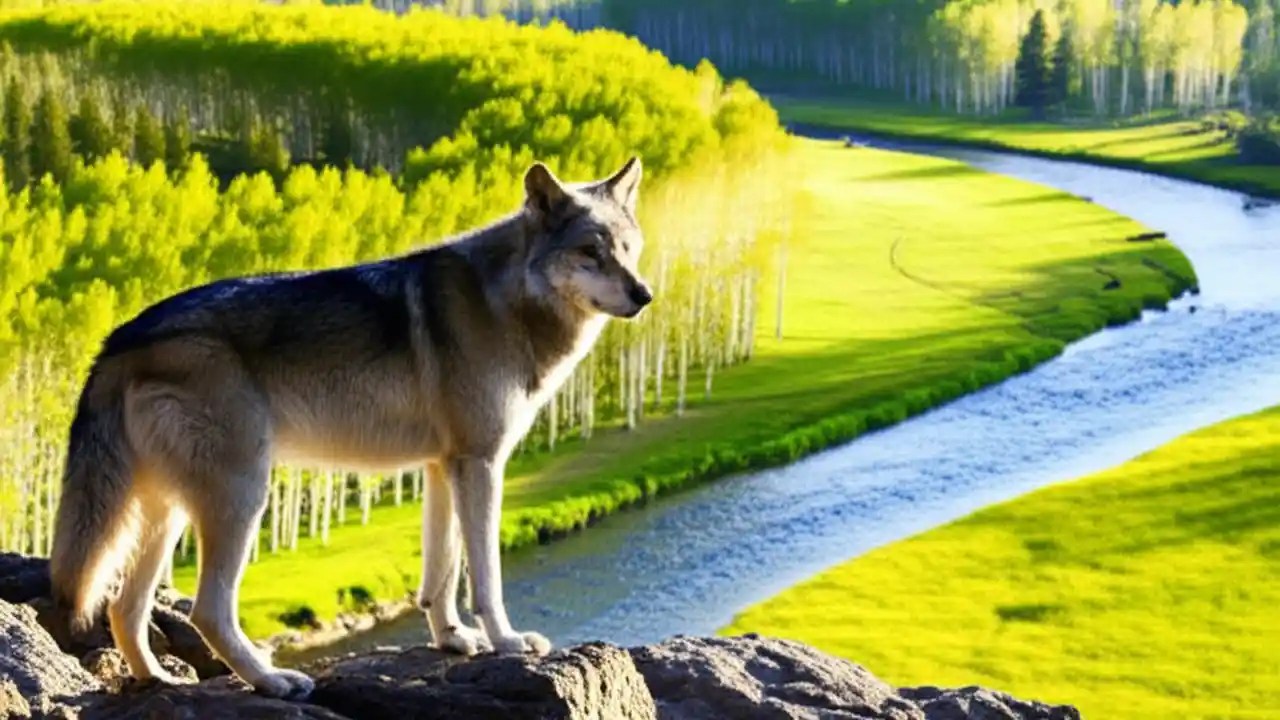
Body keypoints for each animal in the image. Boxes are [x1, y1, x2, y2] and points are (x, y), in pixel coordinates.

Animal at [48, 157, 650, 698]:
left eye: (628, 248)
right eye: (590, 252)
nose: (644, 295)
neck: (504, 300)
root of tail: (118, 338)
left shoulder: (443, 467)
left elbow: (441, 574)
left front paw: (453, 639)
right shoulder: (480, 464)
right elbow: (486, 575)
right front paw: (506, 642)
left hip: (170, 512)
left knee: (124, 606)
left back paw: (158, 680)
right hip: (241, 497)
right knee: (207, 610)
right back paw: (273, 681)